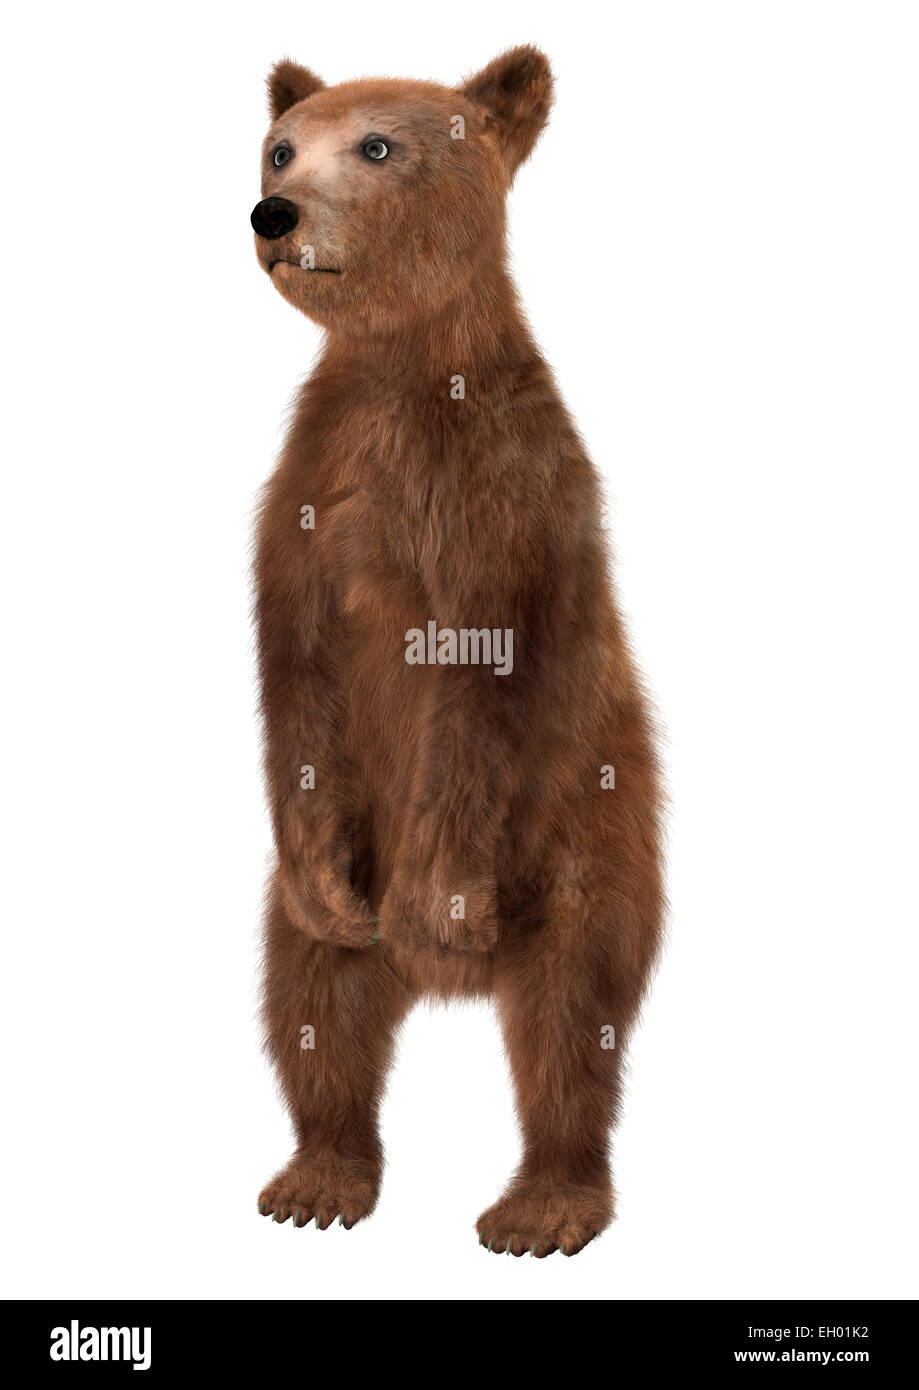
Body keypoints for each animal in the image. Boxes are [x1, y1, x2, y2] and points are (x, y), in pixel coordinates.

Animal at [250, 45, 665, 1257]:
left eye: (378, 145)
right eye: (281, 145)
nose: (274, 211)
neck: (410, 368)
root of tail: (433, 988)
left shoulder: (503, 495)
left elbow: (485, 680)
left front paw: (439, 895)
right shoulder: (318, 481)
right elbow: (295, 662)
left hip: (587, 850)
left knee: (572, 1023)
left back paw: (543, 1202)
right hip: (307, 908)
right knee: (312, 1004)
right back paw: (319, 1174)